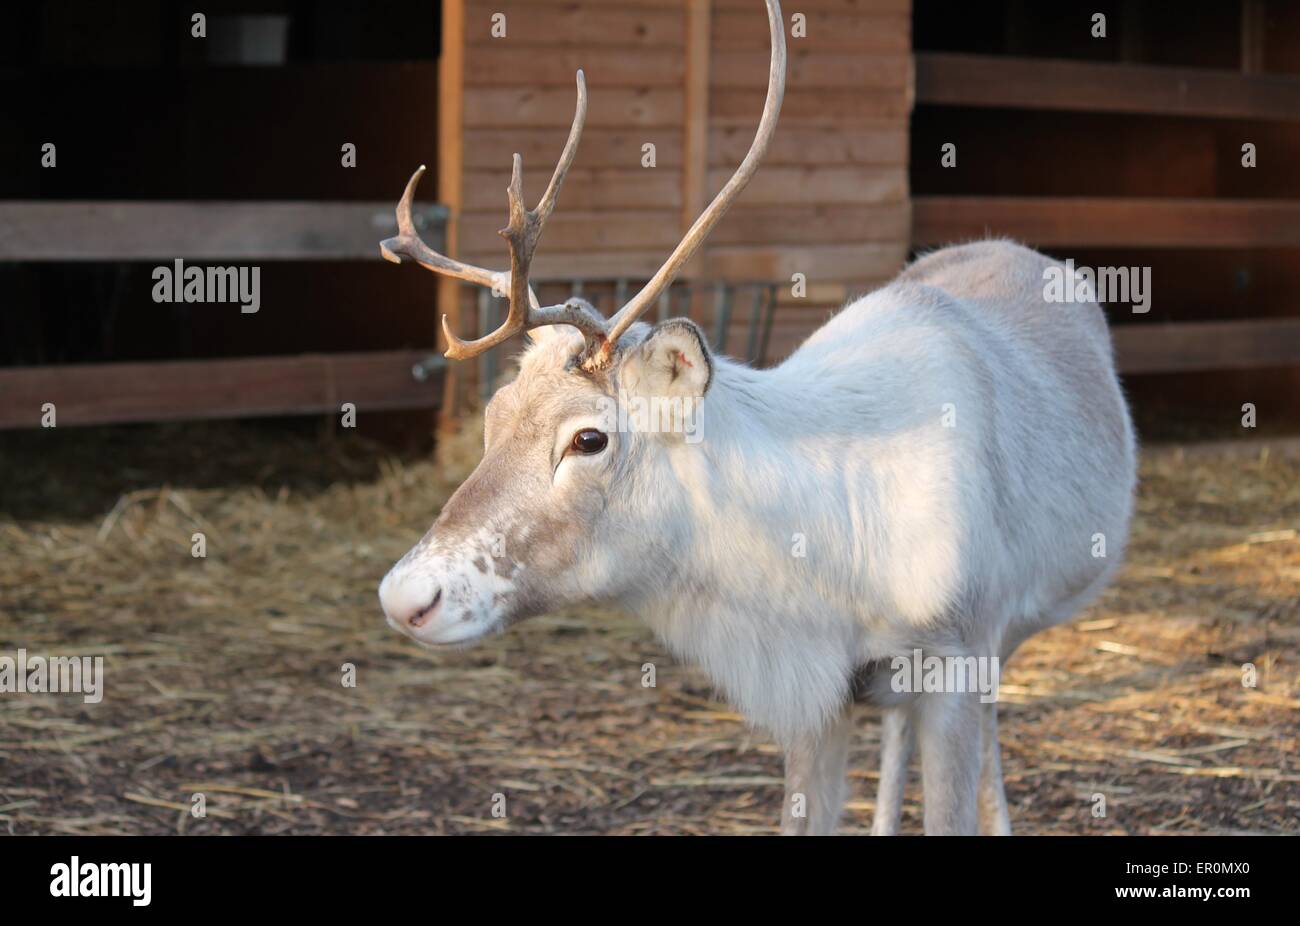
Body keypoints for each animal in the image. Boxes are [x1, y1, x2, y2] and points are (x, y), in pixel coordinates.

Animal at [377, 0, 1136, 835]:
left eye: (588, 438)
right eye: (492, 415)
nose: (406, 598)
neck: (824, 567)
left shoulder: (958, 652)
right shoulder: (817, 697)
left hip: (1004, 637)